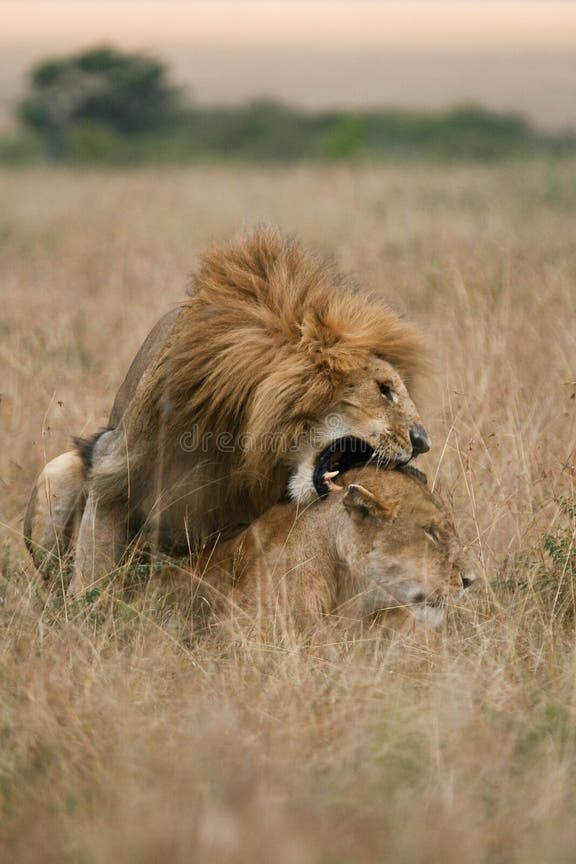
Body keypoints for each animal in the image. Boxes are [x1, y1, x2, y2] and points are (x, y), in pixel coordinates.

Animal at [24, 228, 431, 593]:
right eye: (384, 390)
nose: (423, 441)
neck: (237, 436)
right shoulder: (112, 471)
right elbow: (93, 572)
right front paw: (84, 617)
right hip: (57, 471)